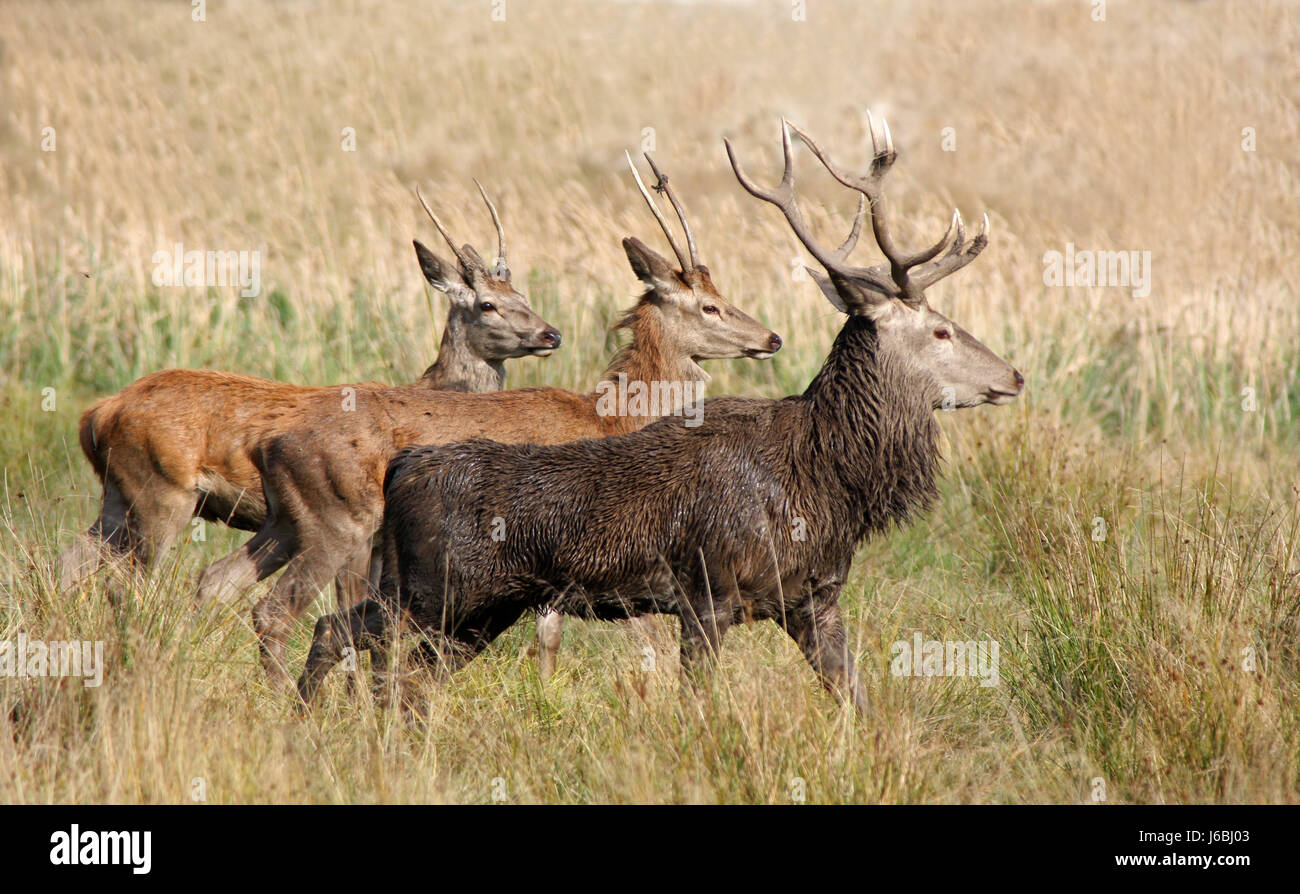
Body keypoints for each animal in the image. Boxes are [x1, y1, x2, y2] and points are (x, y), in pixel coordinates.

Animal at [58, 183, 562, 606]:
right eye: (487, 304)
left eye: (523, 295)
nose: (551, 333)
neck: (431, 387)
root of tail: (97, 413)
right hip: (162, 492)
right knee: (131, 580)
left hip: (119, 495)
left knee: (74, 558)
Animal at [194, 153, 784, 690]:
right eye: (708, 306)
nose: (772, 337)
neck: (613, 418)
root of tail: (271, 443)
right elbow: (570, 637)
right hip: (338, 522)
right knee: (276, 612)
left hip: (286, 521)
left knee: (221, 581)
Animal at [296, 115, 1024, 714]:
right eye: (940, 330)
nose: (1013, 375)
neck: (828, 481)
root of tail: (402, 472)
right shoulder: (706, 592)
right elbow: (698, 705)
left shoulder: (813, 600)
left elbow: (857, 701)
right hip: (435, 587)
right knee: (346, 636)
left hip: (475, 609)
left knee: (385, 663)